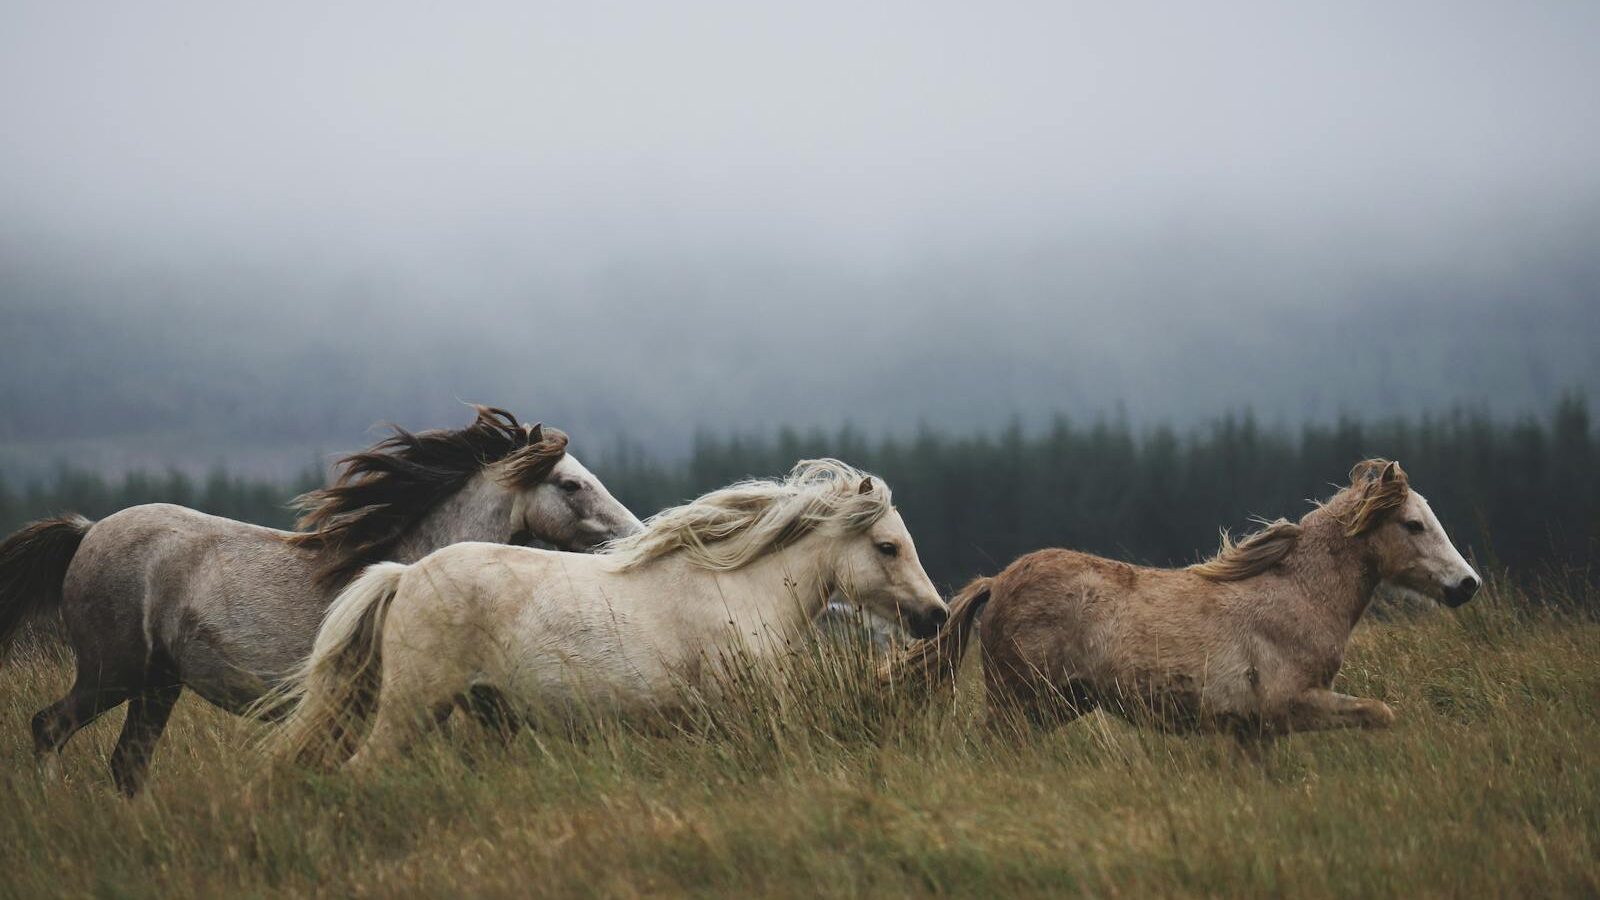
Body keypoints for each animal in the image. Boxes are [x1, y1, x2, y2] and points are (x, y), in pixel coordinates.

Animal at [0, 405, 642, 794]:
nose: (633, 535)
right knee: (50, 727)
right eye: (570, 484)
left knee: (127, 763)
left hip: (158, 685)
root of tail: (88, 531)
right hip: (113, 672)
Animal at [882, 459, 1480, 740]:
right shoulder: (1289, 705)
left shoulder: (1251, 732)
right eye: (1413, 524)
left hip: (1057, 705)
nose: (1467, 584)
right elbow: (1380, 713)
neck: (1297, 596)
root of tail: (998, 580)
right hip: (1021, 703)